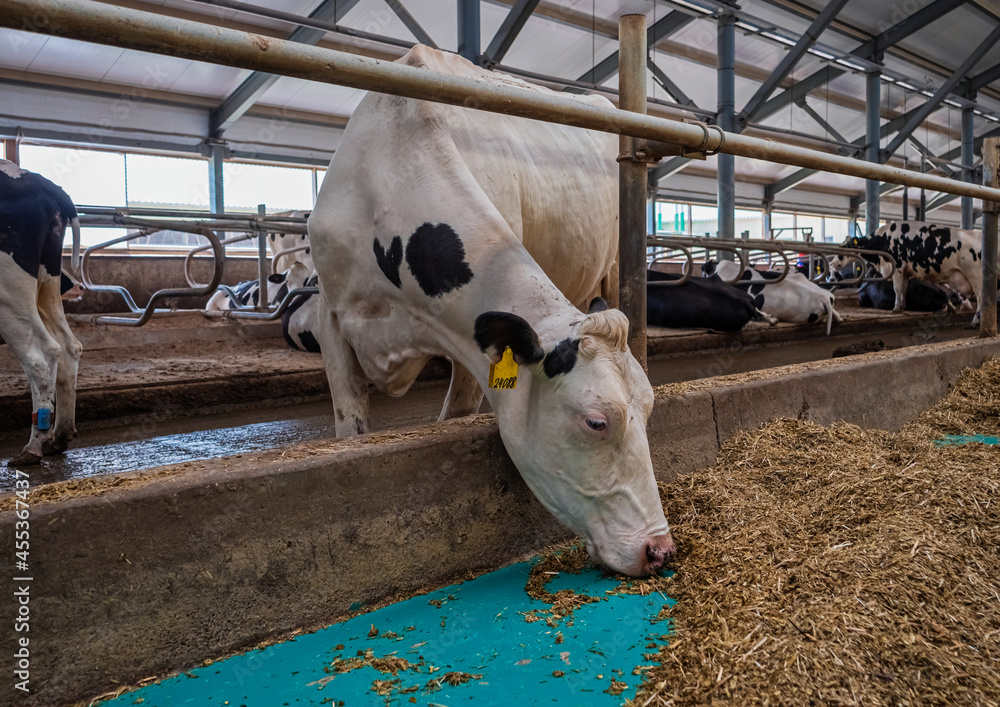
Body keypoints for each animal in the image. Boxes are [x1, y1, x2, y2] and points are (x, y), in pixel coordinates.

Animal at [0, 159, 83, 465]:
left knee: (42, 354)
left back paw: (34, 446)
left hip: (8, 289)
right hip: (46, 284)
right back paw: (59, 437)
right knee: (69, 346)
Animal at [306, 45, 672, 577]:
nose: (659, 549)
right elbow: (349, 426)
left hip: (614, 267)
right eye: (596, 422)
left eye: (648, 411)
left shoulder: (467, 343)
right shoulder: (332, 317)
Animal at [833, 222, 987, 325]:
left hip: (975, 276)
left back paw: (975, 321)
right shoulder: (906, 272)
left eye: (846, 247)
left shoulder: (897, 268)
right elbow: (903, 288)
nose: (833, 263)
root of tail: (978, 233)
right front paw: (902, 306)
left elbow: (896, 288)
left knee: (981, 299)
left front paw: (896, 308)